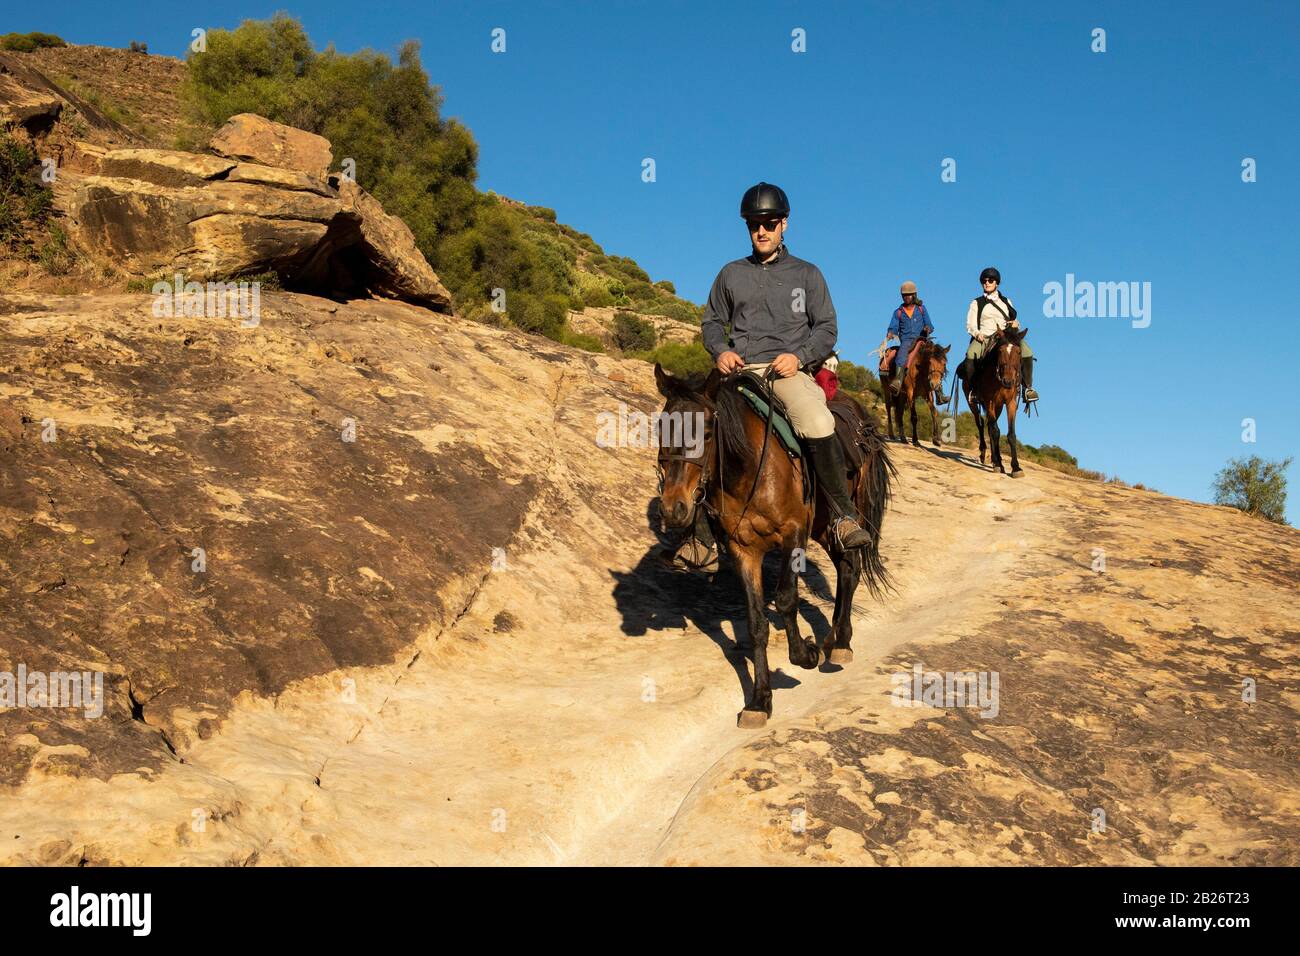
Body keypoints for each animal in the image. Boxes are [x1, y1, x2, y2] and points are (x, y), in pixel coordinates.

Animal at [653, 363, 892, 728]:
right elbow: (756, 624)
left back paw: (840, 643)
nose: (673, 508)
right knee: (844, 565)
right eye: (661, 428)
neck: (749, 470)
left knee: (850, 566)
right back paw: (834, 639)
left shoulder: (793, 534)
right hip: (823, 524)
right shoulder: (743, 551)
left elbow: (785, 599)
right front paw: (759, 702)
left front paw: (805, 654)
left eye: (707, 432)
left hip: (851, 510)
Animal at [961, 327, 1026, 477]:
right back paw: (986, 454)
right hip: (973, 403)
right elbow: (996, 431)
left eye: (1019, 352)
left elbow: (1011, 434)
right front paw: (998, 464)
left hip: (998, 407)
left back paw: (998, 460)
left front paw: (1016, 467)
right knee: (981, 424)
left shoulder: (1010, 403)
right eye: (1000, 351)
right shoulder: (989, 401)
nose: (1008, 381)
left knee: (989, 427)